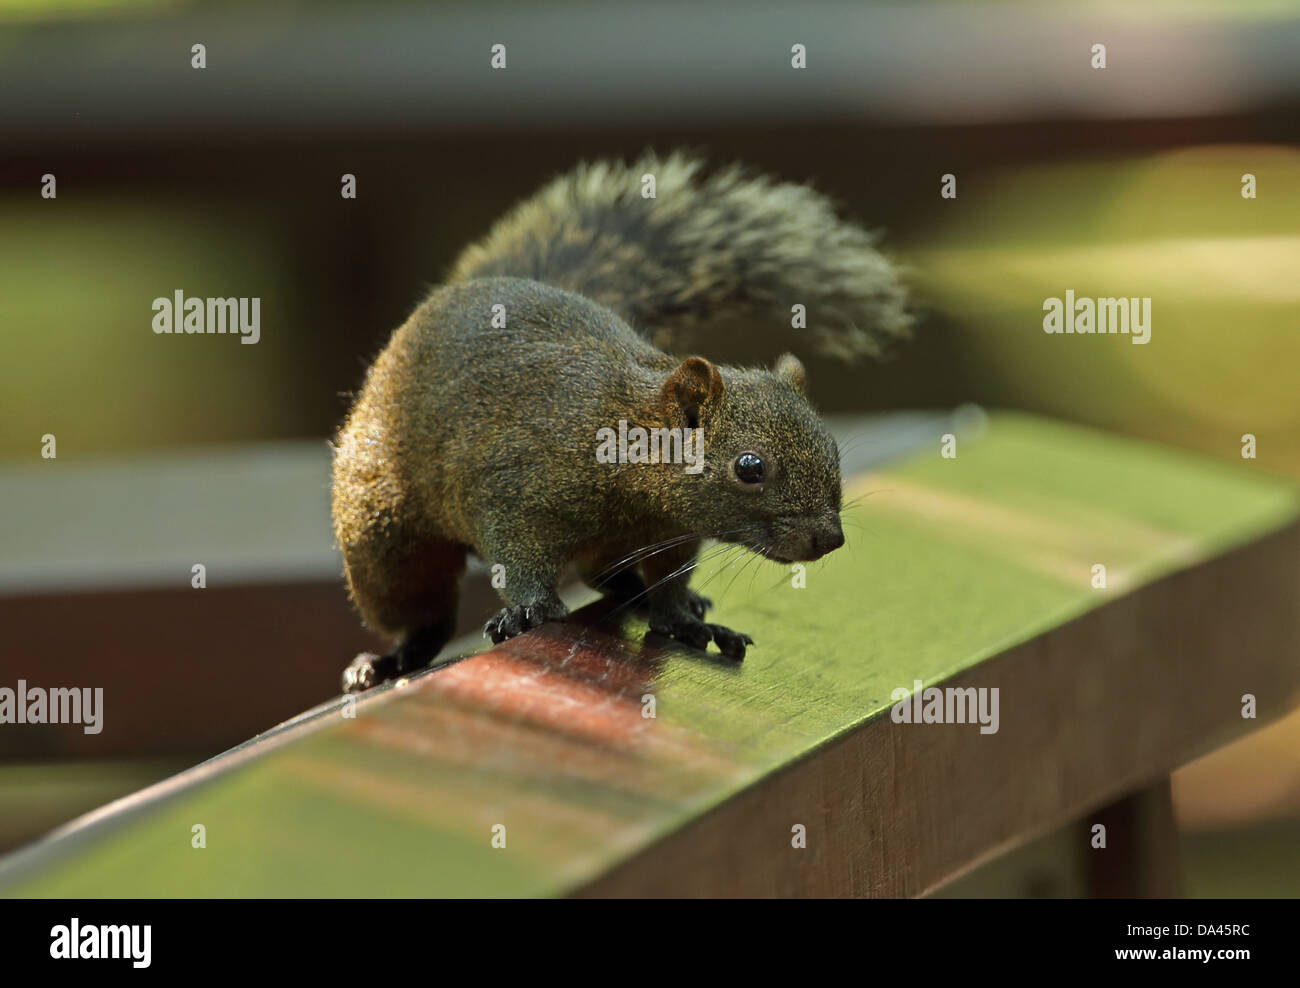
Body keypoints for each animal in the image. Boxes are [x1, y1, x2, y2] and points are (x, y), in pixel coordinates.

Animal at [332, 152, 910, 692]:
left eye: (831, 448)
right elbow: (516, 557)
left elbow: (670, 583)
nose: (829, 538)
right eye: (750, 467)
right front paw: (529, 610)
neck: (624, 441)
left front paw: (683, 619)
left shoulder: (672, 534)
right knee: (419, 611)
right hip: (383, 538)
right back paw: (388, 661)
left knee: (602, 575)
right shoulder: (512, 487)